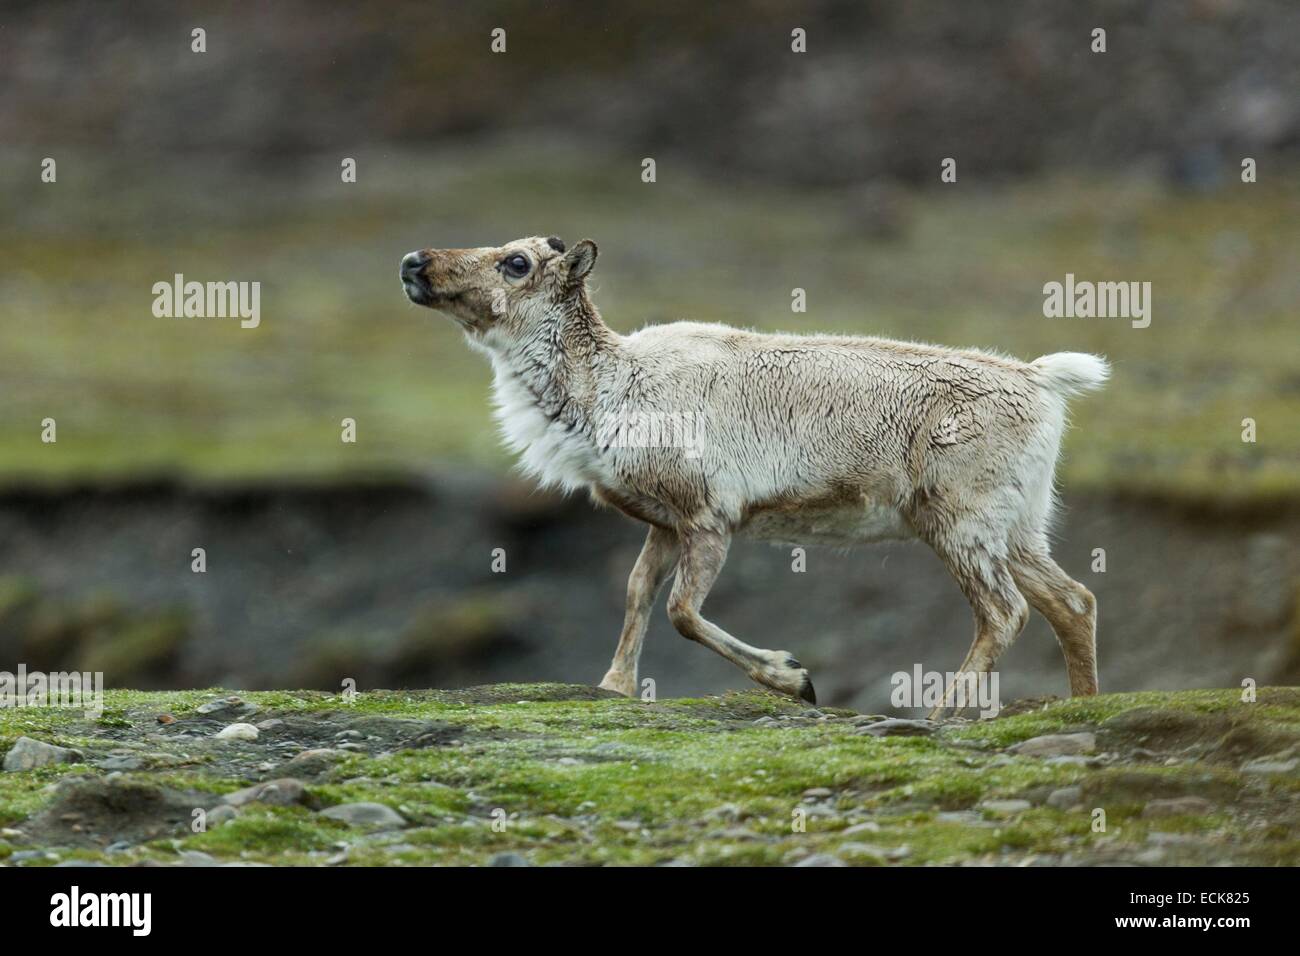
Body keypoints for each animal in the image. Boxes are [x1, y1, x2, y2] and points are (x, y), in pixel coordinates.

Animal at [400, 236, 1108, 718]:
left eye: (516, 262)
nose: (413, 263)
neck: (606, 390)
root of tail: (1043, 381)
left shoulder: (711, 514)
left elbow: (682, 611)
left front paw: (795, 677)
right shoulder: (664, 521)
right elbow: (636, 592)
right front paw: (614, 687)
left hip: (959, 520)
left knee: (1006, 612)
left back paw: (939, 715)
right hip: (1018, 526)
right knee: (1073, 601)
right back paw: (1082, 704)